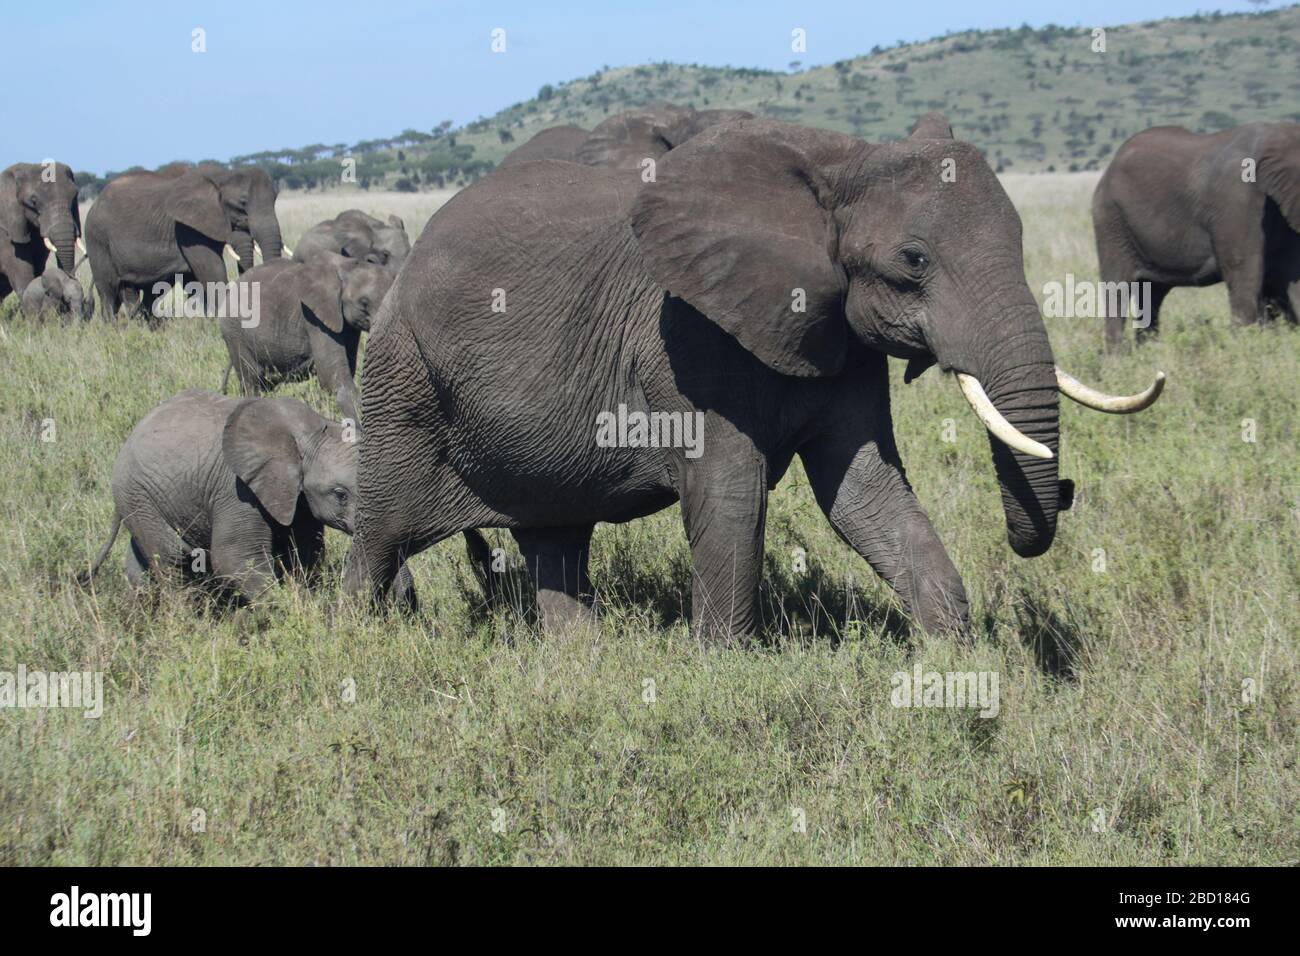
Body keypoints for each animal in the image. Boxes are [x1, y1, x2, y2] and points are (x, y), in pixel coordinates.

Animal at [78, 390, 357, 602]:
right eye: (340, 494)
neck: (311, 432)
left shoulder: (298, 497)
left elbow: (304, 552)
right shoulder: (238, 491)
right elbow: (234, 559)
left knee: (141, 565)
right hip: (140, 496)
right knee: (172, 562)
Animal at [84, 163, 284, 321]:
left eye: (276, 198)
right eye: (242, 203)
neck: (222, 176)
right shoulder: (186, 229)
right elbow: (213, 272)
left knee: (144, 292)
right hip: (97, 238)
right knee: (108, 290)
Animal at [219, 254, 394, 424]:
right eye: (364, 303)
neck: (346, 265)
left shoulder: (347, 325)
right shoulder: (313, 317)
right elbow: (332, 377)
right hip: (234, 331)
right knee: (252, 380)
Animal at [343, 114, 1166, 639]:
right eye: (914, 261)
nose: (1068, 489)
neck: (837, 164)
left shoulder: (841, 337)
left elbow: (865, 491)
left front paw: (955, 666)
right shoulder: (687, 343)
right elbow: (732, 498)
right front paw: (722, 668)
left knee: (556, 538)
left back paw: (577, 663)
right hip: (400, 382)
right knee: (380, 537)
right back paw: (359, 647)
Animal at [1093, 122, 1300, 350]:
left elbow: (1290, 274)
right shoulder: (1237, 201)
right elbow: (1245, 271)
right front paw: (1243, 348)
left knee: (1151, 294)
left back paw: (1149, 352)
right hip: (1111, 222)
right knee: (1118, 289)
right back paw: (1118, 358)